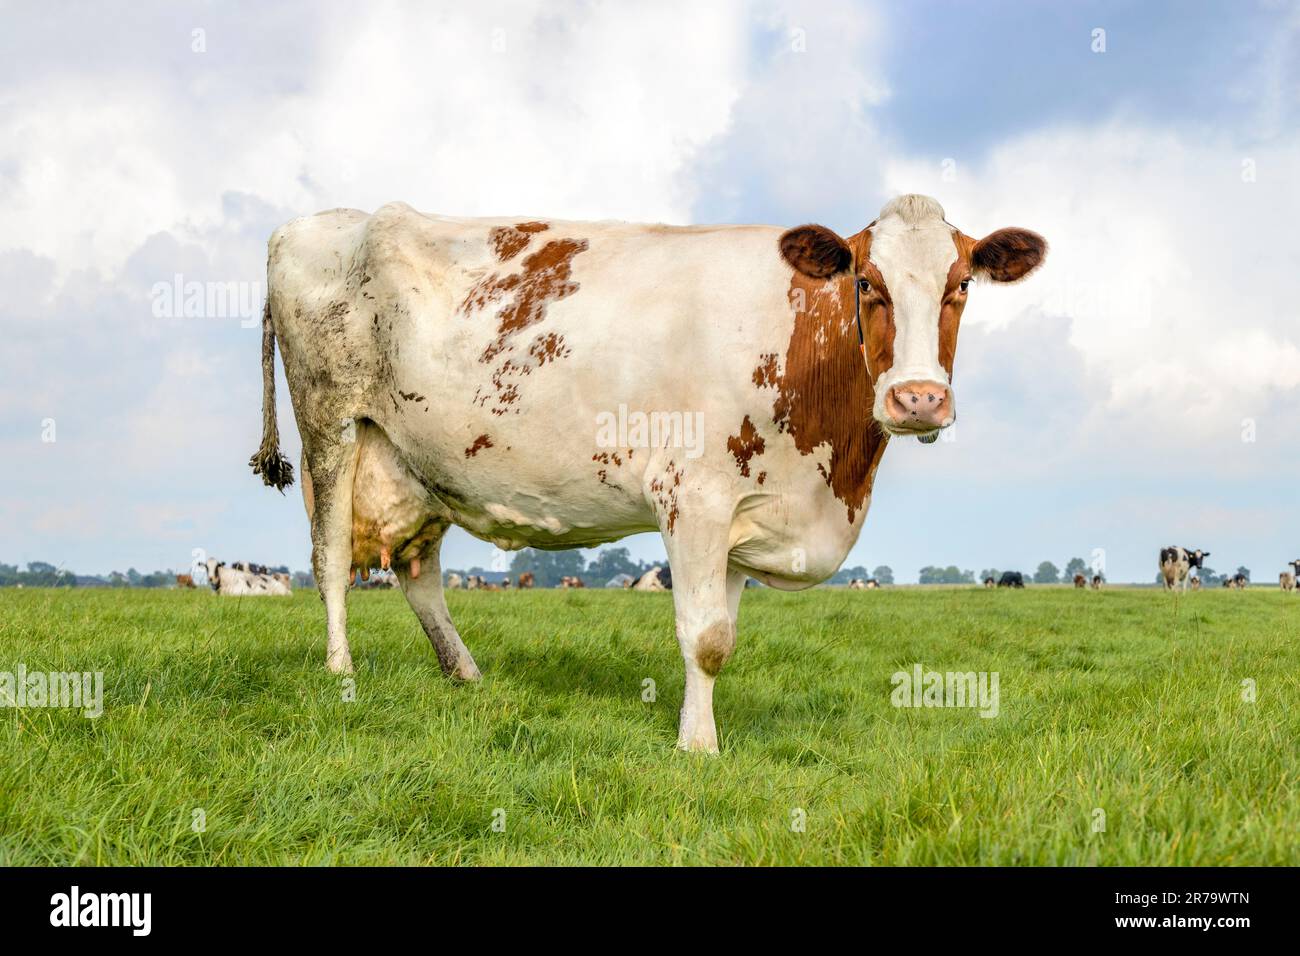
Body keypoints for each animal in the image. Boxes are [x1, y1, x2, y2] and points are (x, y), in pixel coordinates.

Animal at [250, 193, 1046, 752]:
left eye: (961, 286)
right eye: (869, 282)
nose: (919, 398)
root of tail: (309, 224)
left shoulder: (741, 520)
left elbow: (722, 631)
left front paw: (698, 727)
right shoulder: (693, 499)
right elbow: (706, 636)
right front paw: (699, 748)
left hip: (418, 460)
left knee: (419, 575)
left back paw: (466, 675)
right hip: (332, 426)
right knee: (329, 560)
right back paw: (341, 674)